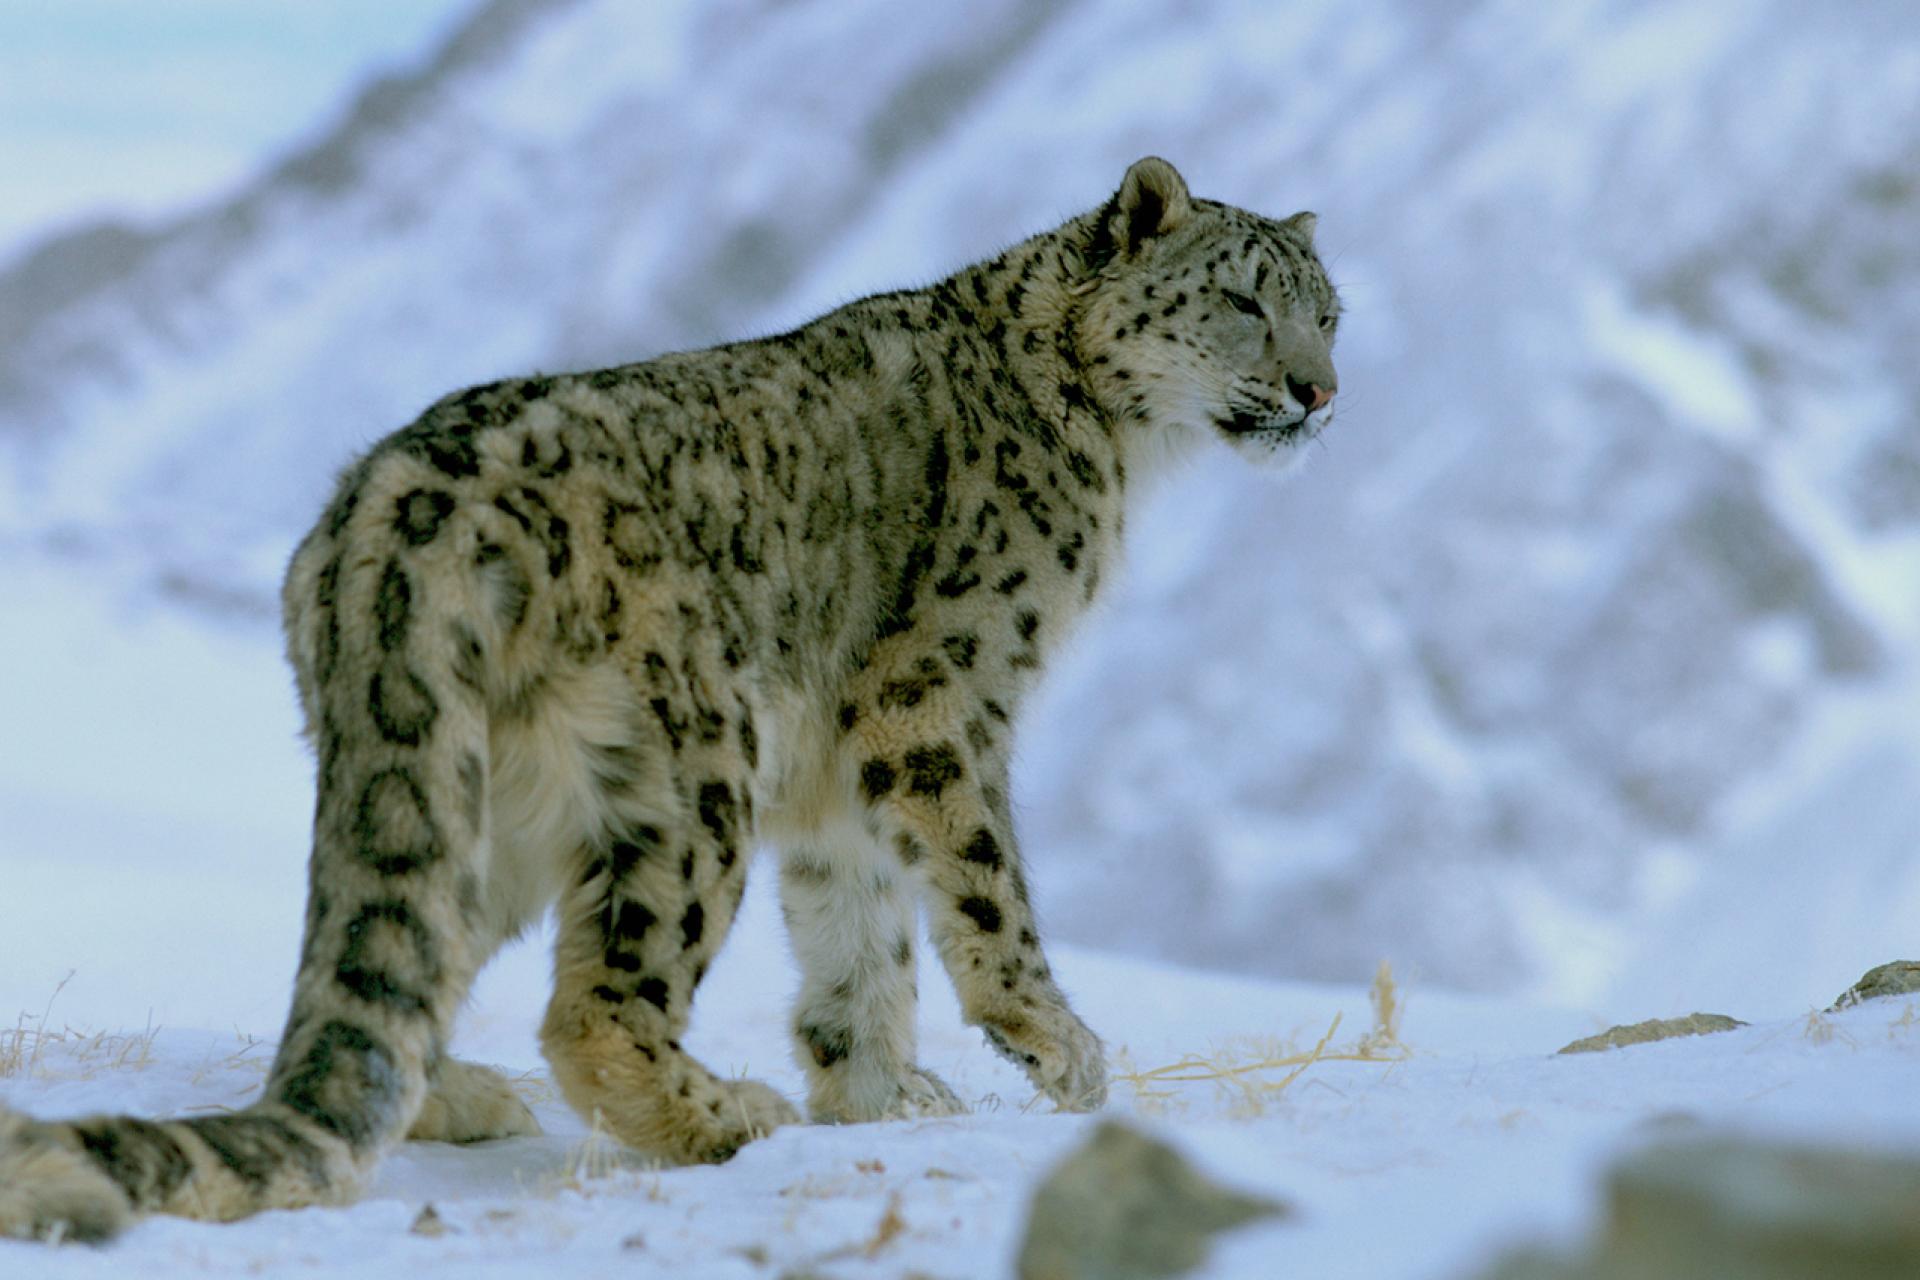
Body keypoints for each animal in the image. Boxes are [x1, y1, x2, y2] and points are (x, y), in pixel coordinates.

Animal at [0, 156, 1339, 1242]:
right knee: (594, 1005)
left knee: (407, 961)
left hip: (481, 790)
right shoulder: (938, 697)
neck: (1117, 456)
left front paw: (883, 1092)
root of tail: (389, 518)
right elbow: (980, 877)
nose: (1321, 392)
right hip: (693, 765)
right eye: (1243, 302)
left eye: (1329, 313)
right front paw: (1061, 1052)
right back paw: (726, 1111)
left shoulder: (837, 765)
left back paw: (466, 1091)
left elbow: (859, 920)